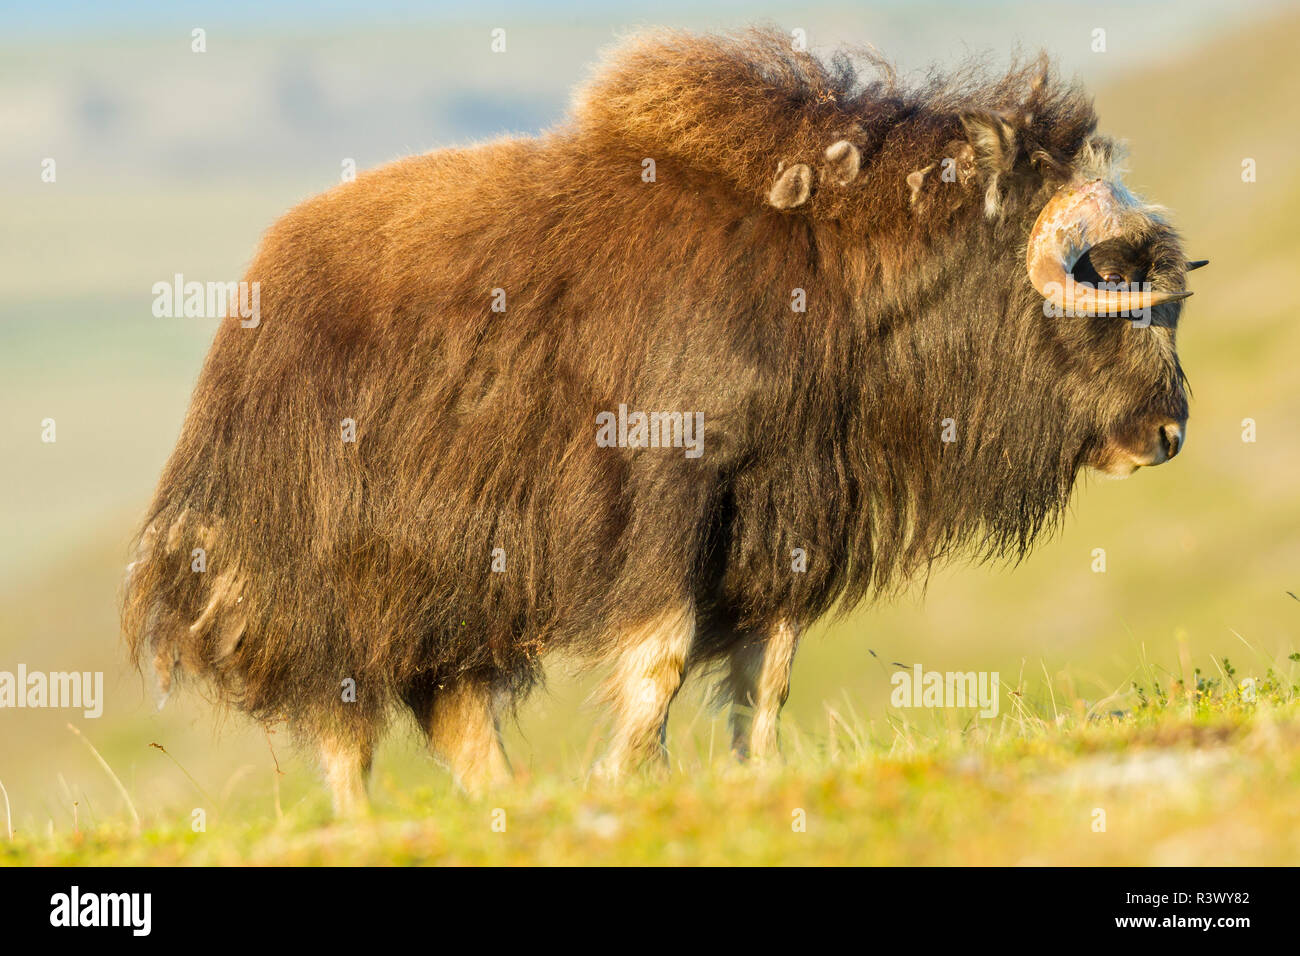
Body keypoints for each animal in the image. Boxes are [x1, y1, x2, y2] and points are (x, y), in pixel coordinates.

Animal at [122, 28, 1204, 815]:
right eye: (1108, 274)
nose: (1167, 436)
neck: (833, 274)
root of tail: (250, 308)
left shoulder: (784, 515)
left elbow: (767, 668)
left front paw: (751, 772)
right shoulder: (667, 496)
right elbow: (663, 653)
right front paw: (623, 777)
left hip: (453, 601)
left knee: (453, 712)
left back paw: (512, 801)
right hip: (330, 583)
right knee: (345, 720)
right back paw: (370, 822)